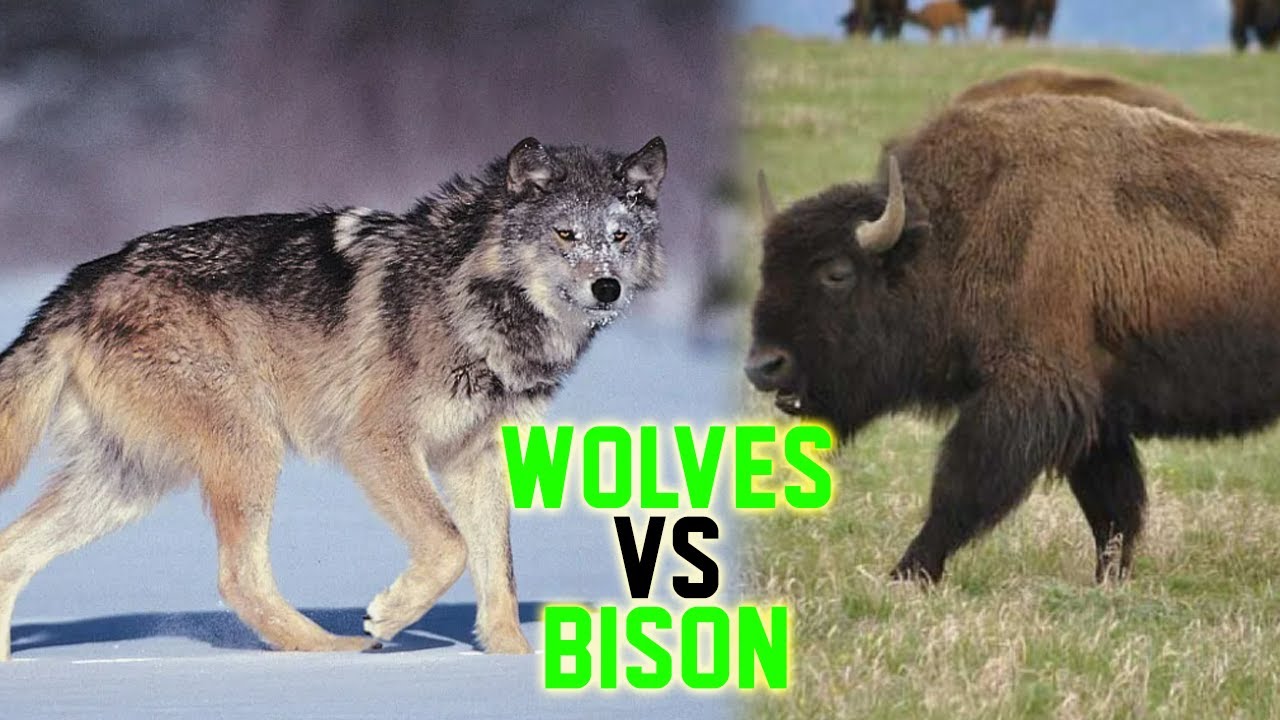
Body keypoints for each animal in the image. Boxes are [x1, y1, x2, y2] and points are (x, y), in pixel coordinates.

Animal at [0, 136, 667, 658]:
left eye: (619, 236)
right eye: (565, 233)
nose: (606, 287)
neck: (476, 302)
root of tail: (84, 281)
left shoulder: (477, 457)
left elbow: (497, 573)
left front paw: (511, 661)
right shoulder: (376, 441)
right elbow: (450, 545)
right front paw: (391, 616)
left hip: (128, 484)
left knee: (12, 552)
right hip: (247, 445)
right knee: (239, 578)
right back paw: (336, 650)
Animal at [748, 95, 1280, 583]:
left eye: (836, 273)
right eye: (766, 269)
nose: (763, 365)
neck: (954, 233)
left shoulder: (1031, 393)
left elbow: (961, 487)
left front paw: (906, 574)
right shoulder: (1096, 415)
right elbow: (1112, 511)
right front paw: (1109, 581)